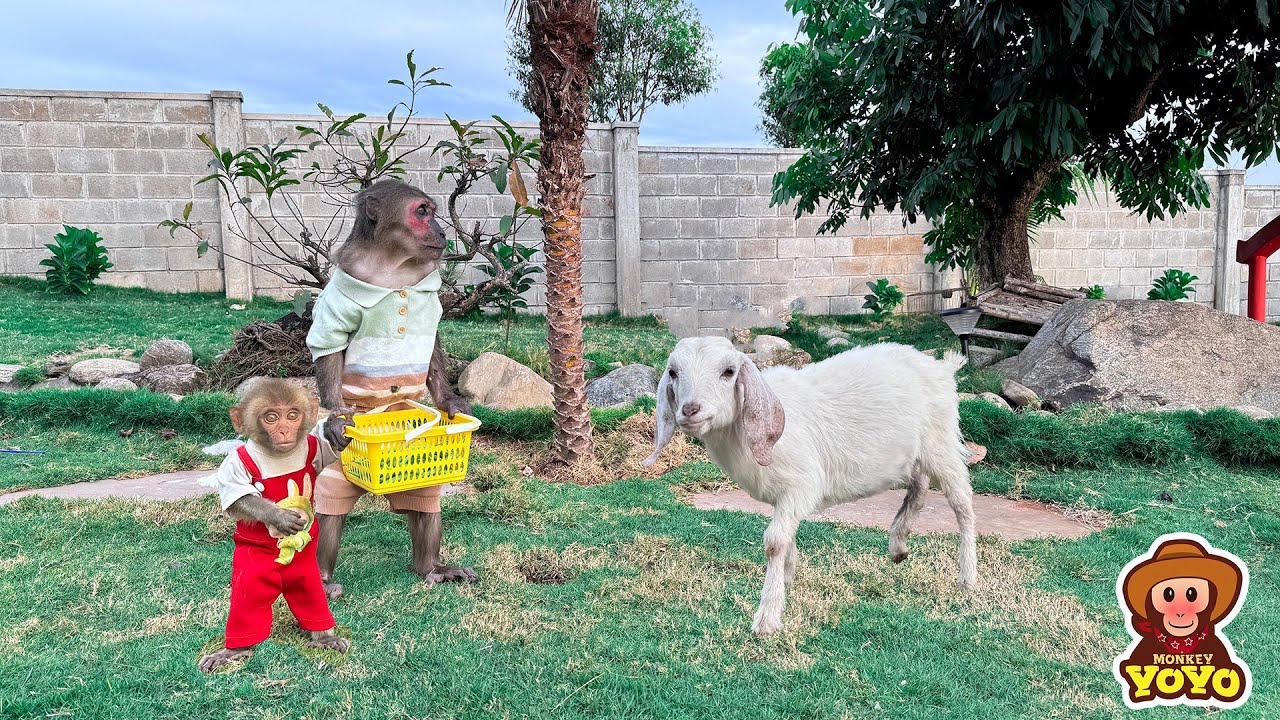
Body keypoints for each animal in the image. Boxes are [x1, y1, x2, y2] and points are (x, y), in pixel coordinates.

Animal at [198, 378, 350, 673]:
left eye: (292, 415)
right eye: (271, 417)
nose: (283, 430)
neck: (276, 456)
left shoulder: (310, 448)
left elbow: (322, 445)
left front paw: (334, 428)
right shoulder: (233, 465)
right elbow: (242, 499)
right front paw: (279, 517)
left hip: (305, 568)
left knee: (312, 596)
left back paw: (324, 636)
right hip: (252, 565)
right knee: (247, 602)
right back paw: (234, 650)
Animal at [307, 179, 476, 599]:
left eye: (433, 211)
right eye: (422, 212)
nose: (443, 232)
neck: (393, 267)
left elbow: (432, 339)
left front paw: (450, 401)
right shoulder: (341, 289)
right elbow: (329, 346)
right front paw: (337, 416)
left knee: (423, 497)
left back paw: (431, 567)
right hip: (342, 462)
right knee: (333, 496)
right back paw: (324, 579)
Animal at [644, 337, 976, 636]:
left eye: (729, 371)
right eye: (673, 372)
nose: (690, 410)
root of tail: (941, 367)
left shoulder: (802, 485)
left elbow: (774, 541)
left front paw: (767, 618)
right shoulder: (782, 496)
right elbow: (785, 539)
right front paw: (787, 578)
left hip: (942, 443)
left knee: (963, 505)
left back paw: (967, 577)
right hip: (913, 455)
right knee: (919, 486)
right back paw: (898, 543)